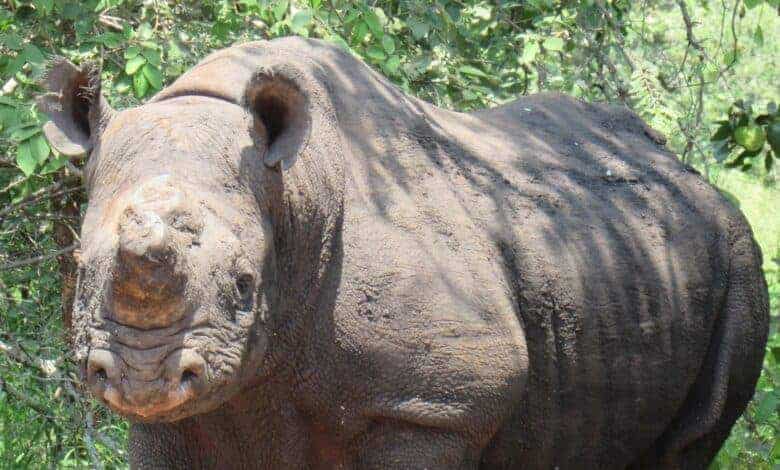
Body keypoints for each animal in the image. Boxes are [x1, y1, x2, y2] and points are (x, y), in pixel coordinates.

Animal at [39, 37, 768, 469]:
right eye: (79, 272)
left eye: (246, 284)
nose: (144, 378)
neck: (292, 191)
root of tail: (694, 177)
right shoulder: (170, 422)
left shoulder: (437, 403)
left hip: (739, 257)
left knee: (691, 440)